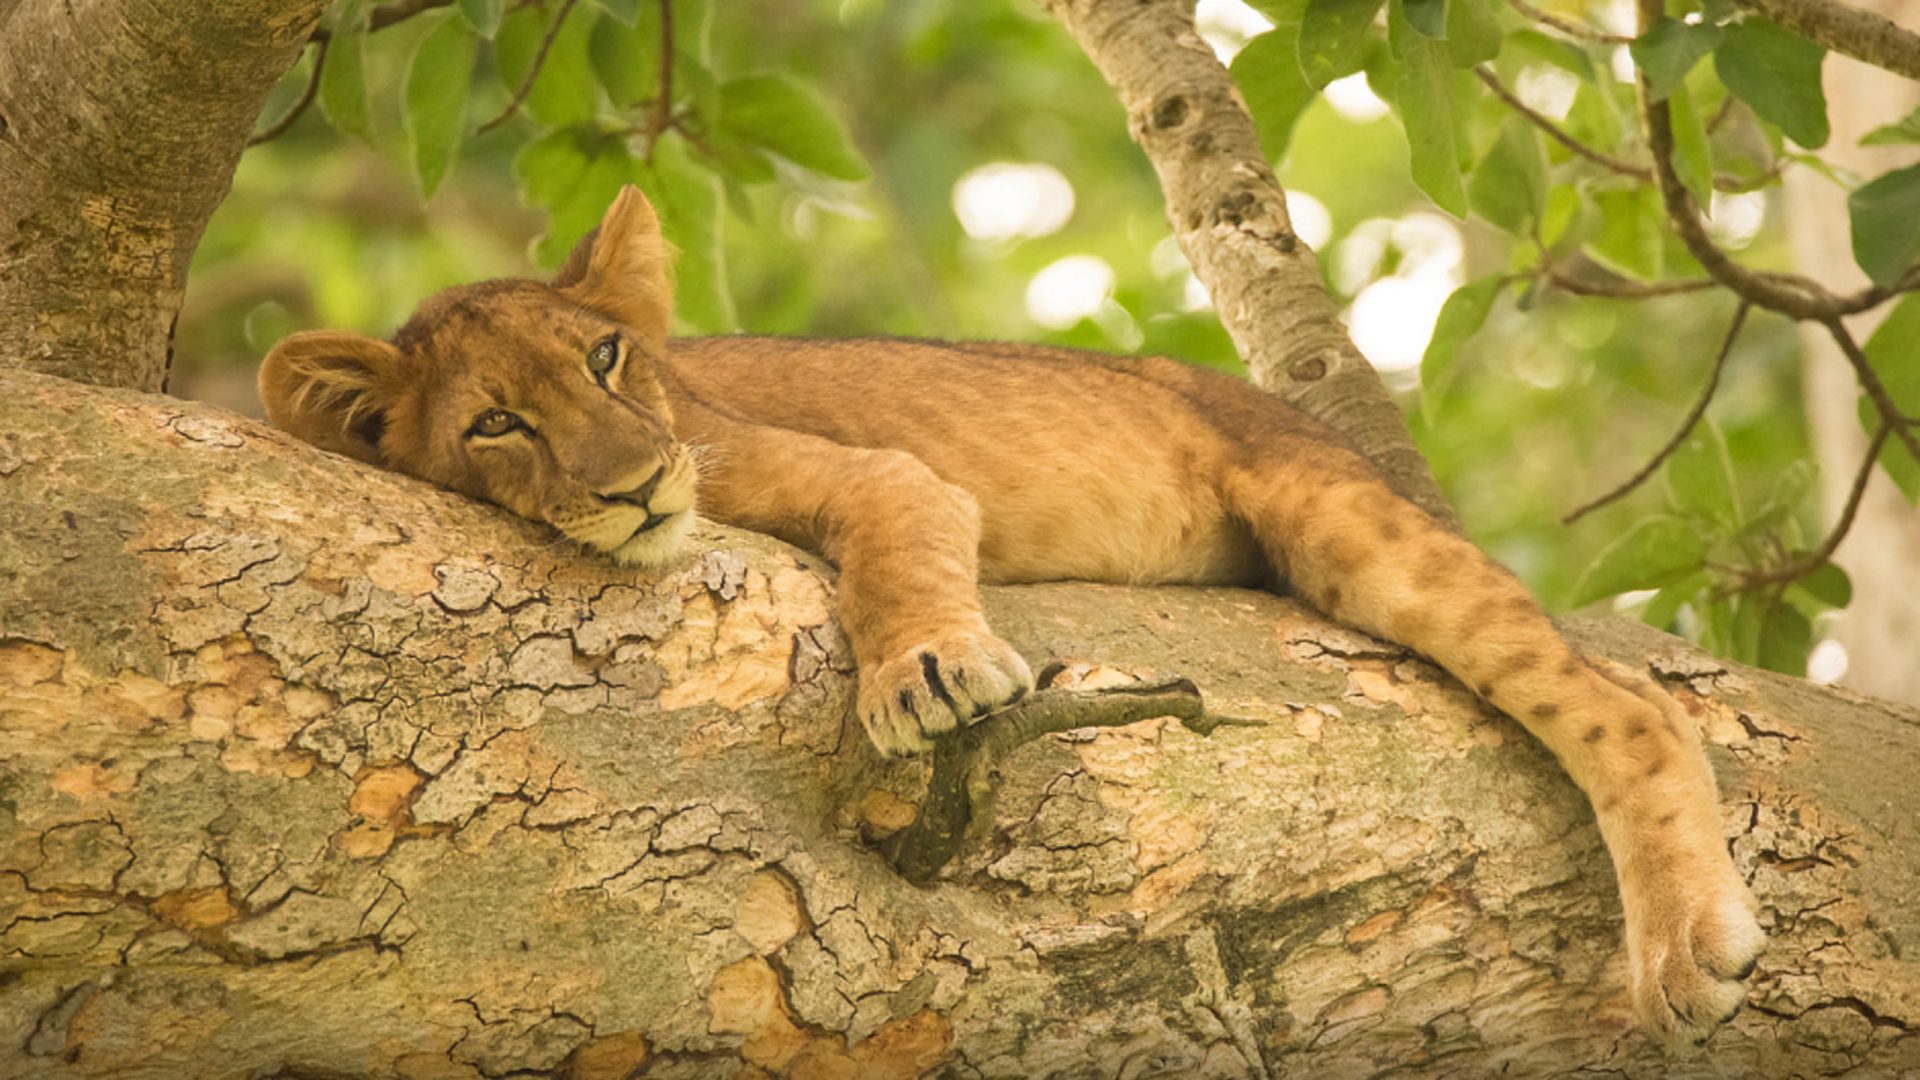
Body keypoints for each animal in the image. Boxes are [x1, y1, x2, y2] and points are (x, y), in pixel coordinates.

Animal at [260, 186, 1763, 1045]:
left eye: (608, 357)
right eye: (496, 425)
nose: (634, 486)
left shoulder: (855, 469)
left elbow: (897, 551)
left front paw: (927, 672)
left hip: (1341, 522)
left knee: (1622, 702)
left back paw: (1683, 954)